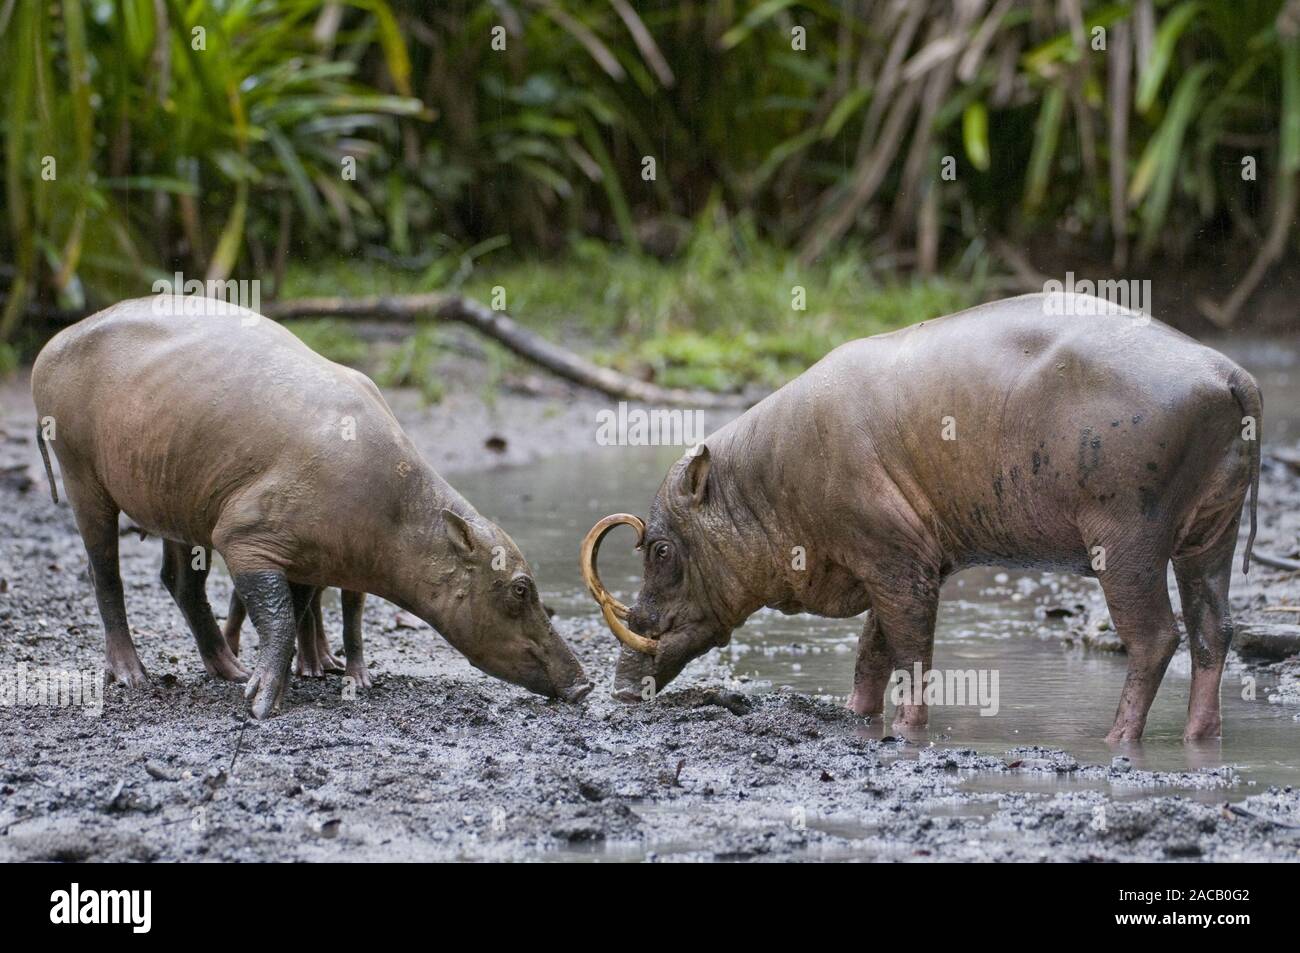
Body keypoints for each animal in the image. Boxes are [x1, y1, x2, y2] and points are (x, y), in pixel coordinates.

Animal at [33, 296, 591, 717]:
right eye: (520, 589)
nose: (584, 684)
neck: (392, 512)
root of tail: (52, 344)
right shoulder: (244, 534)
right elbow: (279, 615)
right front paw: (263, 703)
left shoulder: (308, 555)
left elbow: (296, 606)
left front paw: (276, 681)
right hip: (81, 471)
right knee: (104, 572)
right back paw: (132, 675)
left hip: (176, 499)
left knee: (180, 581)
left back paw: (227, 669)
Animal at [581, 293, 1261, 742]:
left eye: (662, 551)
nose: (622, 689)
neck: (764, 486)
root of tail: (1232, 375)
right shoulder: (899, 561)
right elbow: (873, 650)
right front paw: (858, 717)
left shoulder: (895, 556)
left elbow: (909, 650)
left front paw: (907, 732)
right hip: (1210, 534)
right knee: (1215, 629)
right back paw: (1201, 738)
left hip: (1127, 538)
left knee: (1156, 637)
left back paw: (1118, 739)